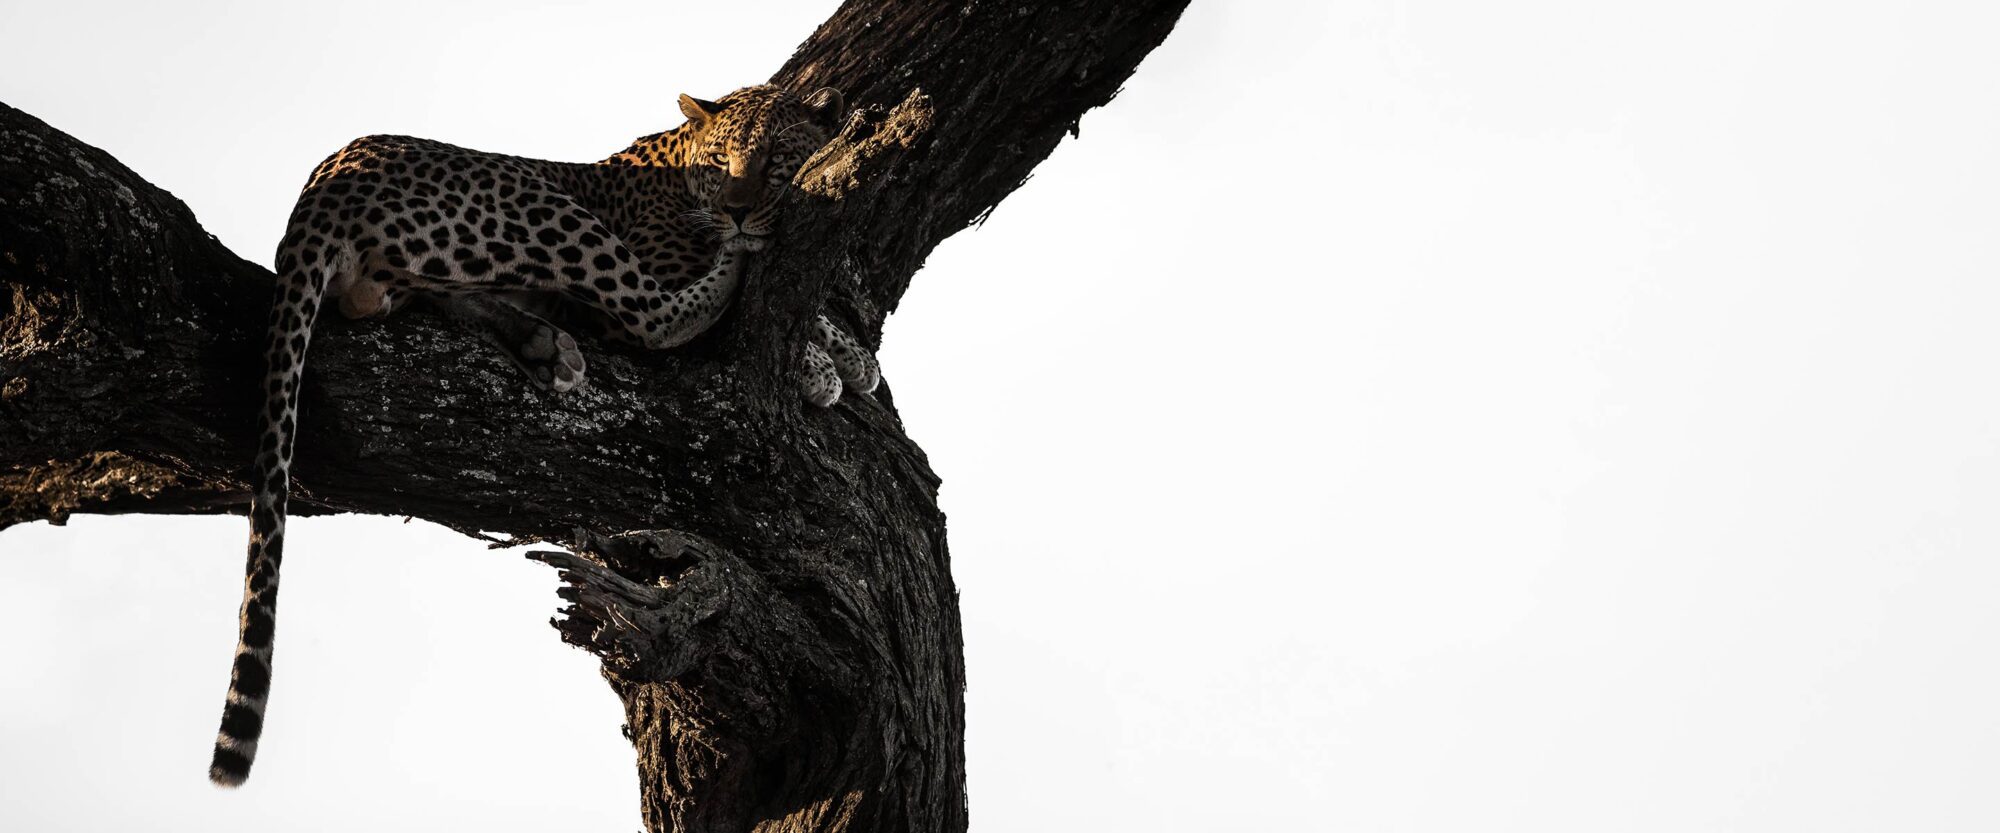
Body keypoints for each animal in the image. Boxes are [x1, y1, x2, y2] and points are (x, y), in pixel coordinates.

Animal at [208, 84, 879, 787]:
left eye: (774, 158)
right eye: (721, 161)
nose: (739, 213)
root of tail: (316, 194)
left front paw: (850, 357)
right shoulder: (661, 264)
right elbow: (741, 315)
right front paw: (825, 364)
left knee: (395, 298)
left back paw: (544, 342)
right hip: (542, 203)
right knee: (654, 315)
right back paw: (713, 275)